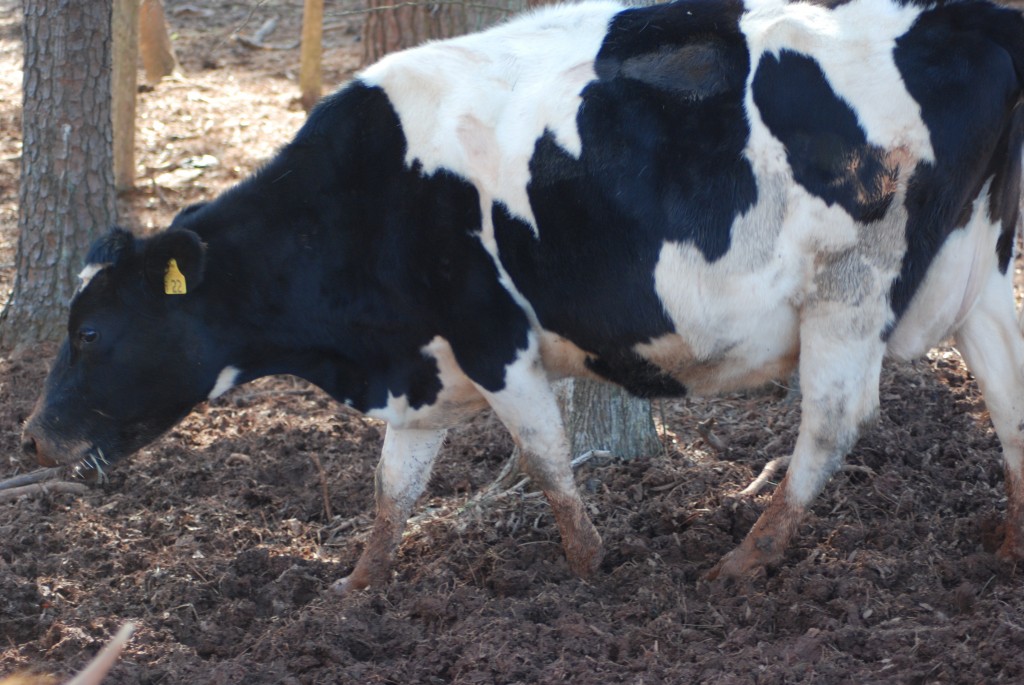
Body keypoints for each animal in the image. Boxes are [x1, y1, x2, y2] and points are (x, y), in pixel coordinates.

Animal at [20, 0, 1024, 590]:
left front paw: (588, 562)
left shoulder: (493, 334)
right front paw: (357, 586)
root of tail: (969, 17)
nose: (33, 434)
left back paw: (748, 554)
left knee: (833, 419)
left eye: (93, 331)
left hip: (849, 287)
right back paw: (1009, 539)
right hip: (982, 276)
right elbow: (392, 486)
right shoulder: (422, 370)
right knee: (1011, 398)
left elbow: (543, 455)